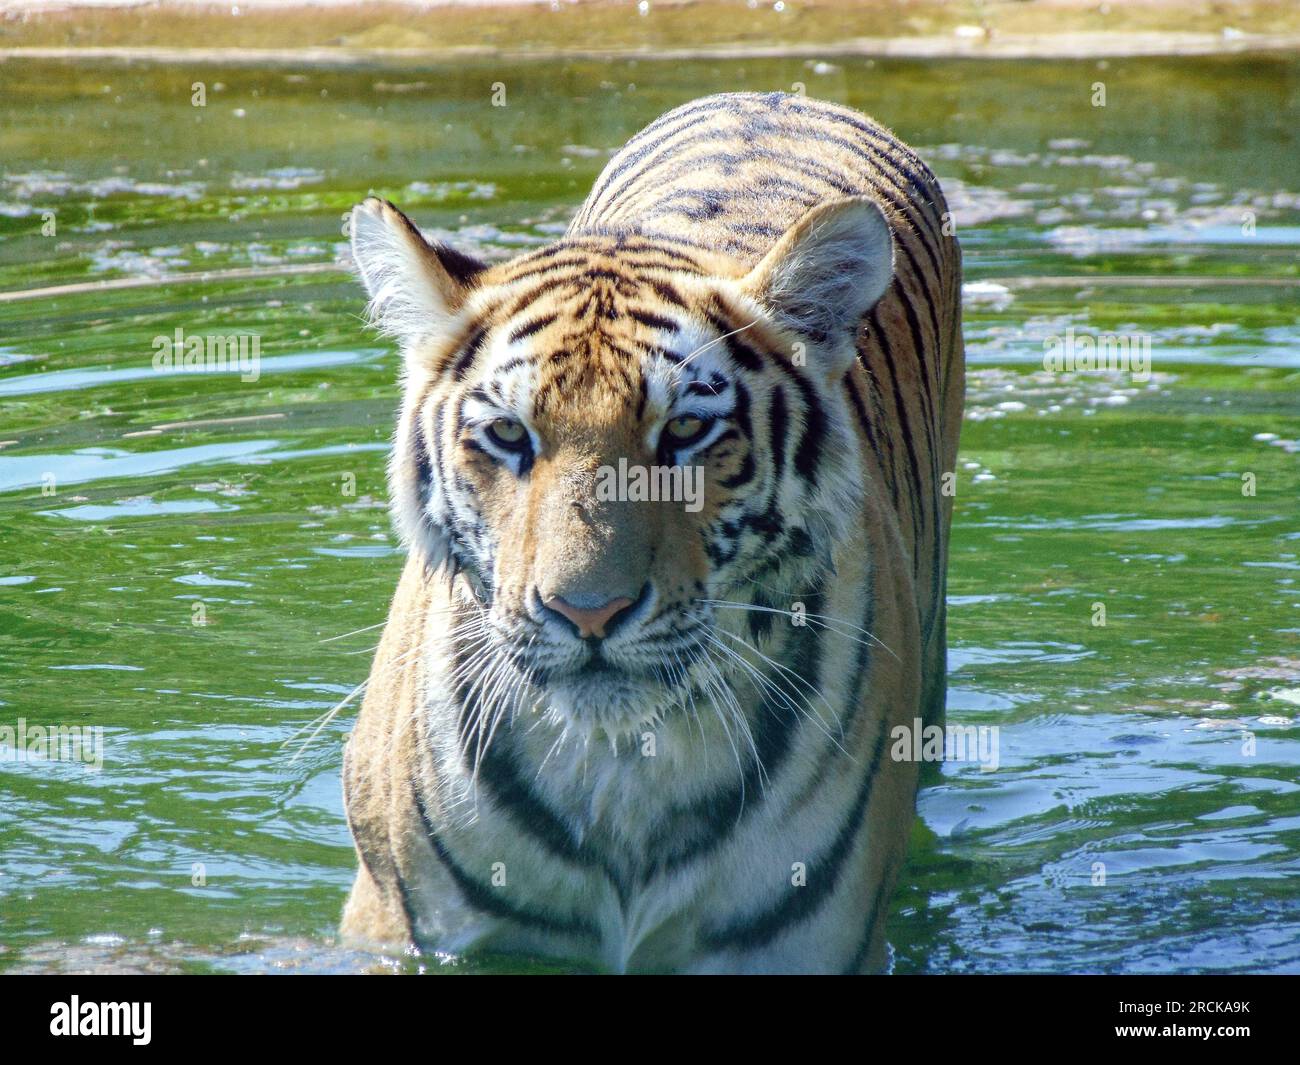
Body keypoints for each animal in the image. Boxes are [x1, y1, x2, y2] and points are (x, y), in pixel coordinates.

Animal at [339, 91, 963, 974]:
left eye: (687, 431)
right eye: (508, 434)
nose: (588, 612)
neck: (622, 765)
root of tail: (774, 96)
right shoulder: (397, 922)